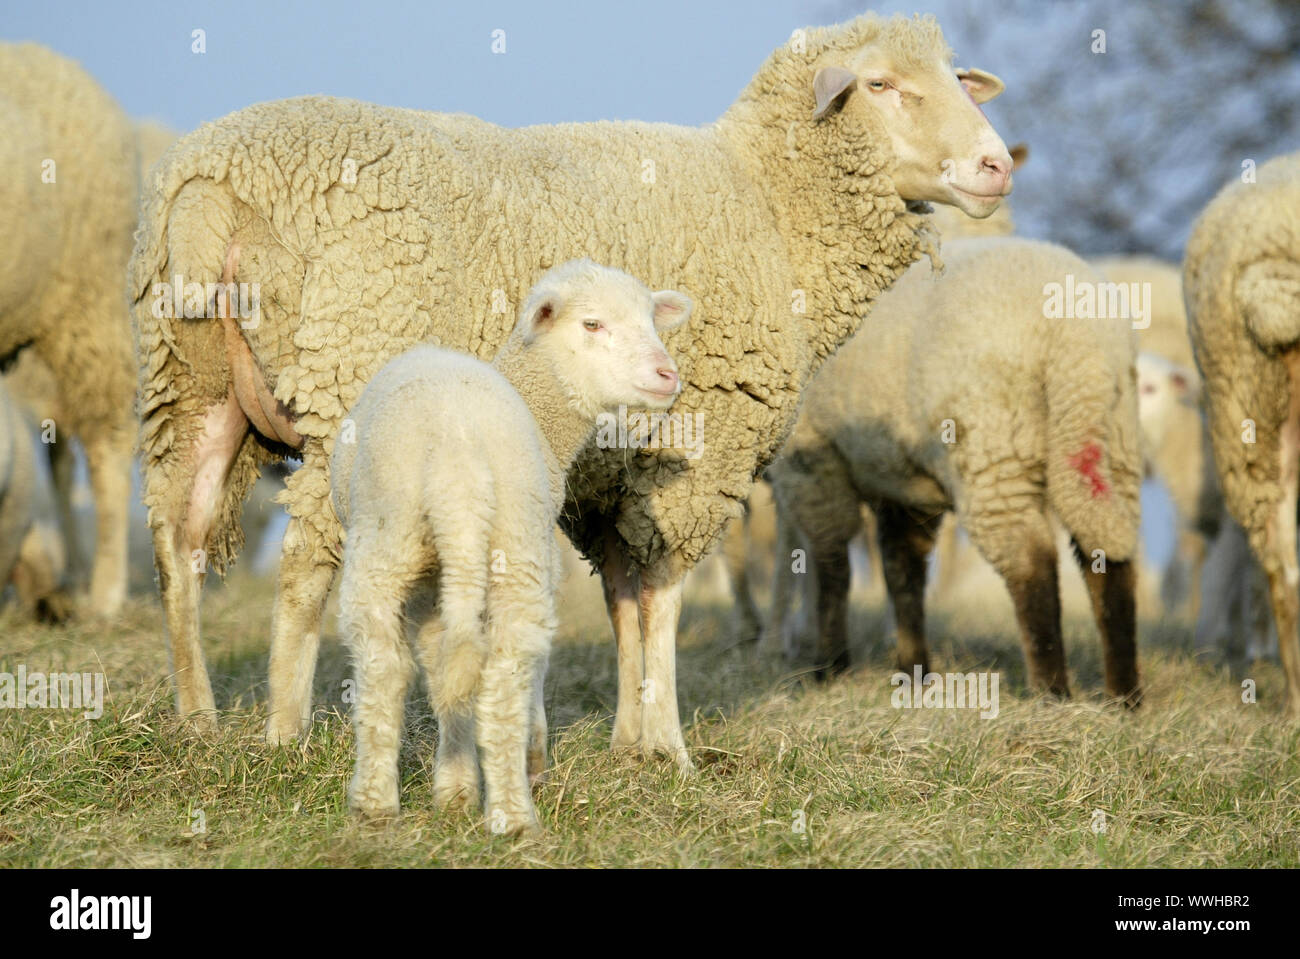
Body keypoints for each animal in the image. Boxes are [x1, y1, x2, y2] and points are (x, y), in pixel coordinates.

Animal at [129, 12, 1014, 763]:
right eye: (881, 84)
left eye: (956, 79)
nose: (997, 165)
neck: (770, 207)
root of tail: (213, 183)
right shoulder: (695, 451)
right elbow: (663, 597)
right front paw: (668, 746)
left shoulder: (606, 473)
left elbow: (624, 595)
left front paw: (624, 739)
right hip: (353, 372)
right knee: (306, 559)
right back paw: (287, 732)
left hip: (191, 382)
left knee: (179, 538)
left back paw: (199, 719)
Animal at [332, 260, 690, 833]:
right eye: (592, 324)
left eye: (650, 320)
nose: (667, 375)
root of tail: (458, 461)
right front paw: (476, 777)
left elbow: (440, 666)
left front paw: (457, 783)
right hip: (493, 542)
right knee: (486, 672)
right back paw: (492, 812)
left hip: (404, 539)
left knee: (394, 667)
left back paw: (408, 807)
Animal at [765, 237, 1143, 704]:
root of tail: (1079, 346)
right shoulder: (901, 485)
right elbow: (903, 570)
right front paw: (913, 672)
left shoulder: (812, 464)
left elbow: (833, 567)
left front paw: (830, 668)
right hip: (1115, 442)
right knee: (1108, 558)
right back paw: (1123, 696)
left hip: (993, 449)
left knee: (1031, 562)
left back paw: (1050, 691)